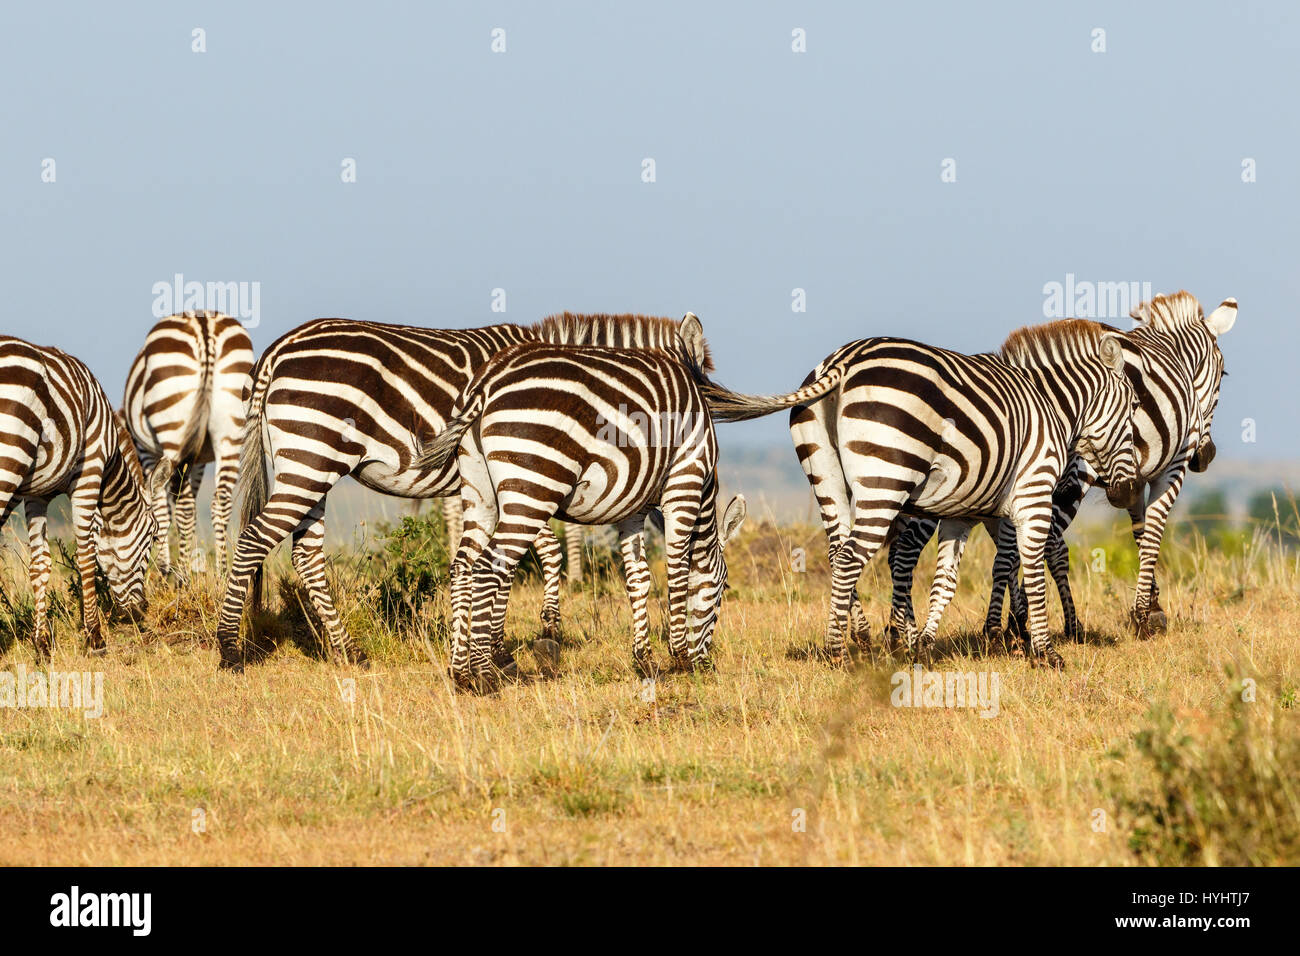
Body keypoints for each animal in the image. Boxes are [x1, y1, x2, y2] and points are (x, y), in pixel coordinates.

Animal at [0, 336, 157, 659]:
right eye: (153, 538)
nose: (141, 611)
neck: (110, 463)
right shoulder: (89, 473)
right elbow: (86, 555)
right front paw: (95, 638)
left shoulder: (36, 495)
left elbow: (40, 564)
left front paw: (41, 644)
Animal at [122, 311, 253, 578]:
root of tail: (204, 326)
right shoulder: (199, 460)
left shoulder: (148, 453)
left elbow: (161, 508)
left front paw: (164, 568)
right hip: (230, 432)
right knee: (220, 502)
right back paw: (222, 570)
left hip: (173, 427)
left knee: (182, 506)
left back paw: (181, 574)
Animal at [215, 312, 714, 671]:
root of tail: (279, 347)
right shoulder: (529, 475)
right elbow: (540, 553)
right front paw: (535, 635)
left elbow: (499, 558)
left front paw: (492, 644)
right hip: (313, 454)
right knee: (256, 539)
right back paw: (229, 650)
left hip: (307, 463)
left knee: (305, 553)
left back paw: (347, 651)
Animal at [701, 321, 1142, 668]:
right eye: (1134, 407)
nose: (1128, 491)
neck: (1053, 405)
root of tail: (841, 361)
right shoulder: (1032, 494)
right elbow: (1031, 570)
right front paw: (1045, 651)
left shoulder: (962, 512)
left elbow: (948, 578)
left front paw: (927, 646)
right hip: (887, 480)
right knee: (853, 558)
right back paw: (838, 652)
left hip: (825, 475)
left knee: (838, 550)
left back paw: (860, 639)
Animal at [887, 292, 1237, 647]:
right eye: (1224, 374)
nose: (1205, 456)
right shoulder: (1170, 468)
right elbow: (1151, 534)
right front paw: (1144, 615)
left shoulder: (1130, 481)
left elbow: (1138, 532)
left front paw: (1151, 605)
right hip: (1061, 479)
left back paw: (906, 631)